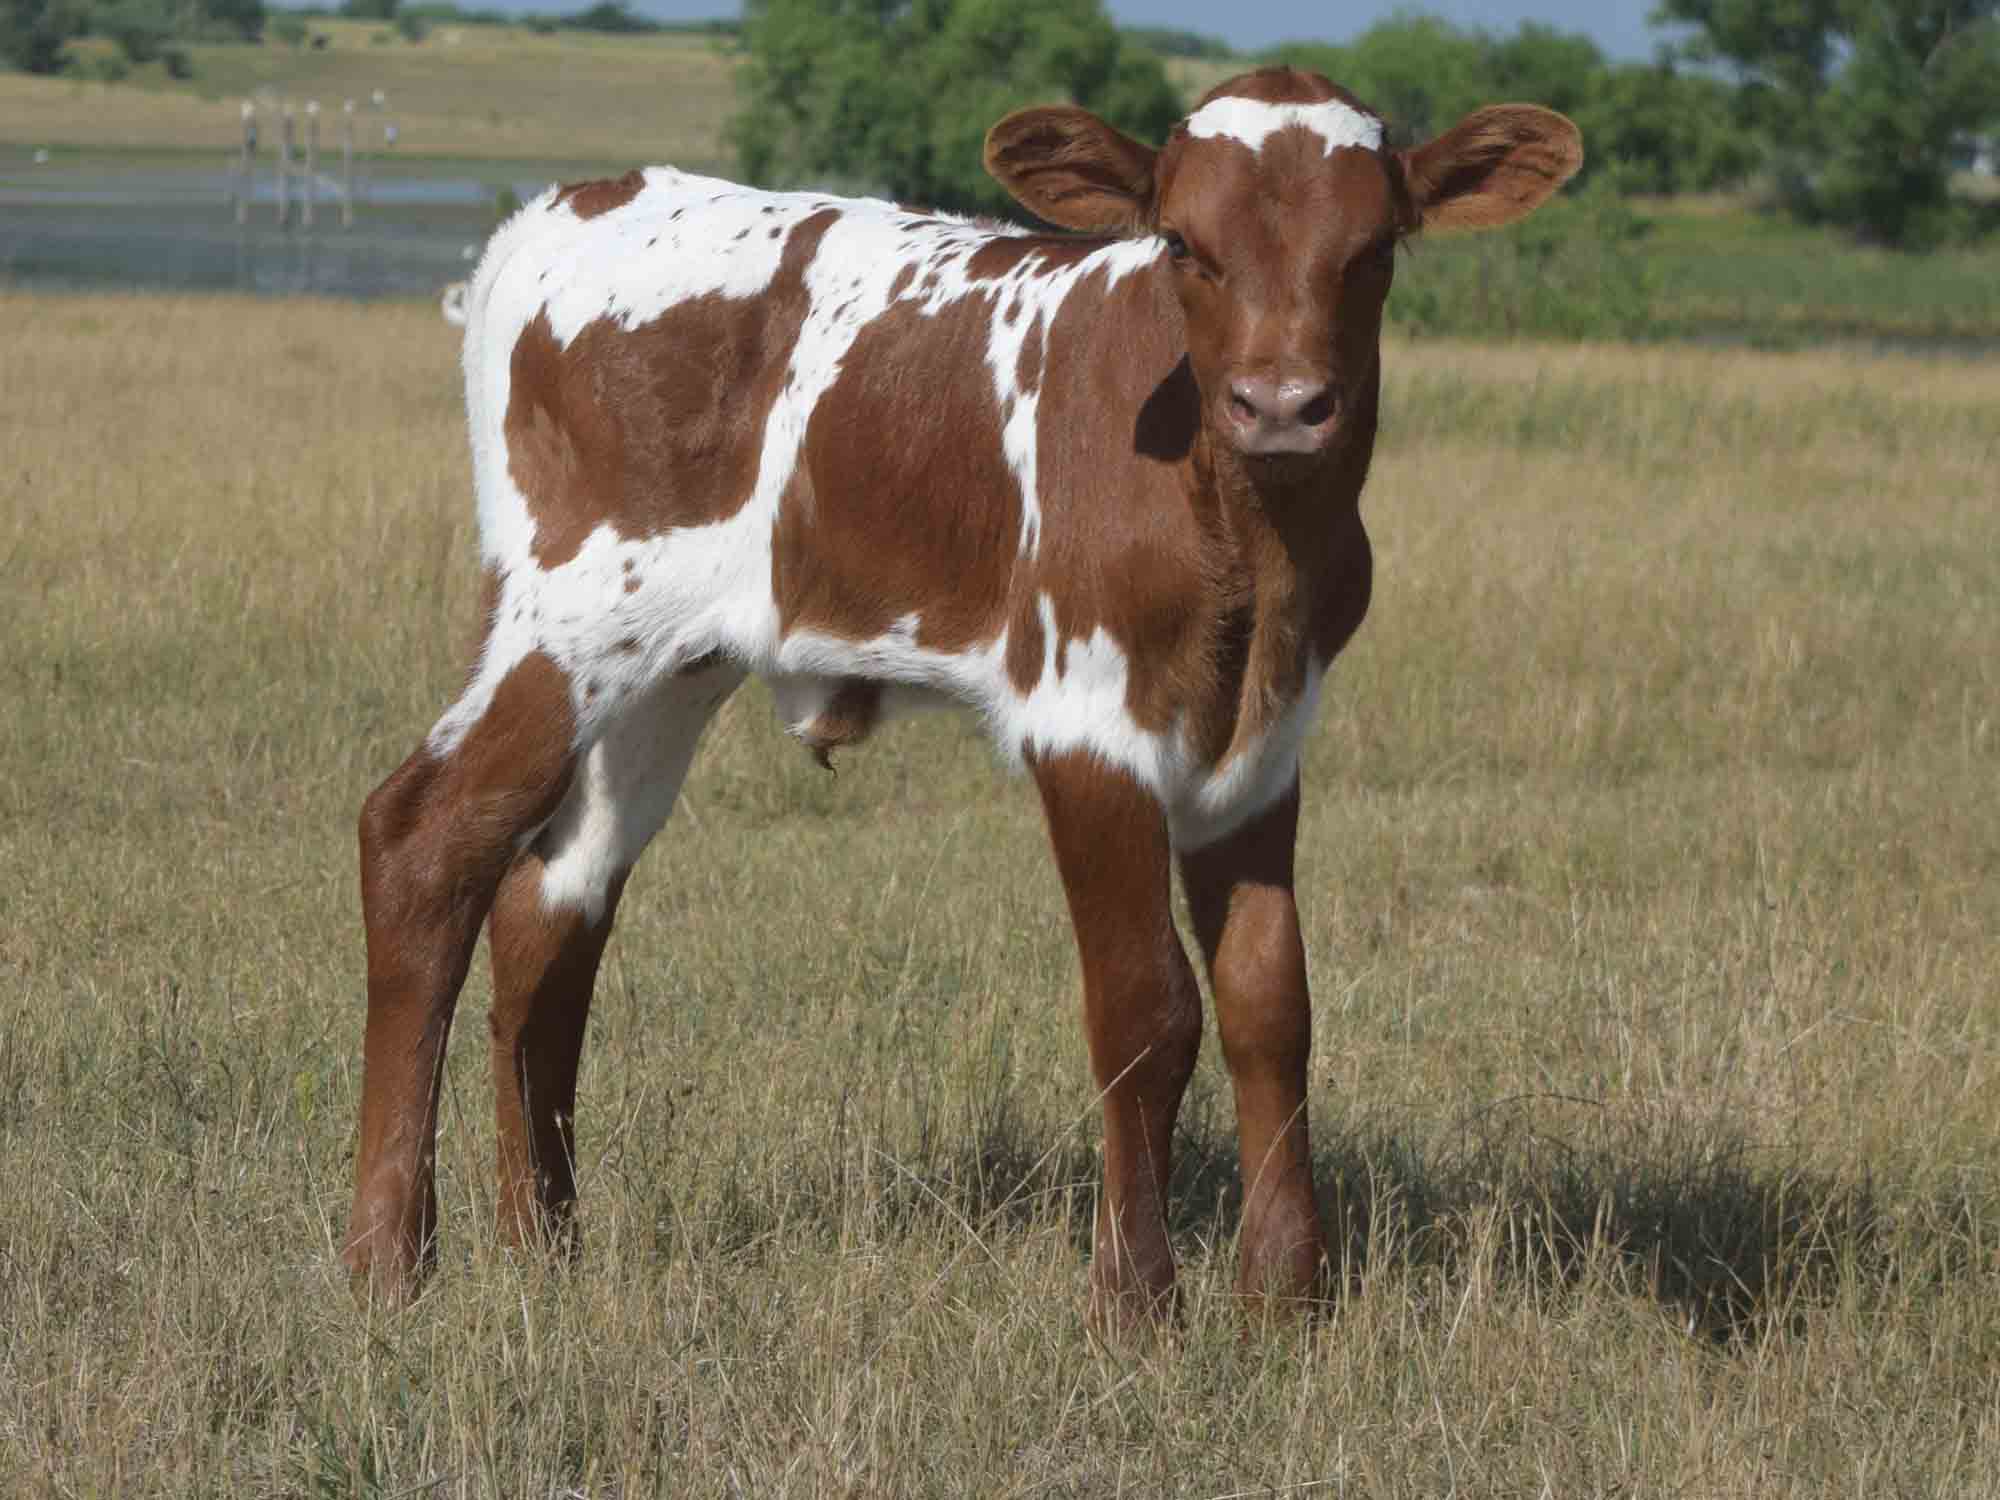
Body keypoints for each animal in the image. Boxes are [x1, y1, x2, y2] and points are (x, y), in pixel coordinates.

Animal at [342, 66, 1581, 1327]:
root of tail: (573, 203)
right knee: (424, 839)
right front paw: (1135, 1301)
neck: (1248, 539)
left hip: (666, 673)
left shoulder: (1266, 740)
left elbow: (1266, 1001)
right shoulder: (1085, 719)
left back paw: (543, 1246)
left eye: (1372, 249)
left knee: (550, 902)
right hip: (571, 619)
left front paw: (1288, 1292)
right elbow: (1144, 1007)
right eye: (1183, 243)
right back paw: (387, 1258)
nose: (1279, 405)